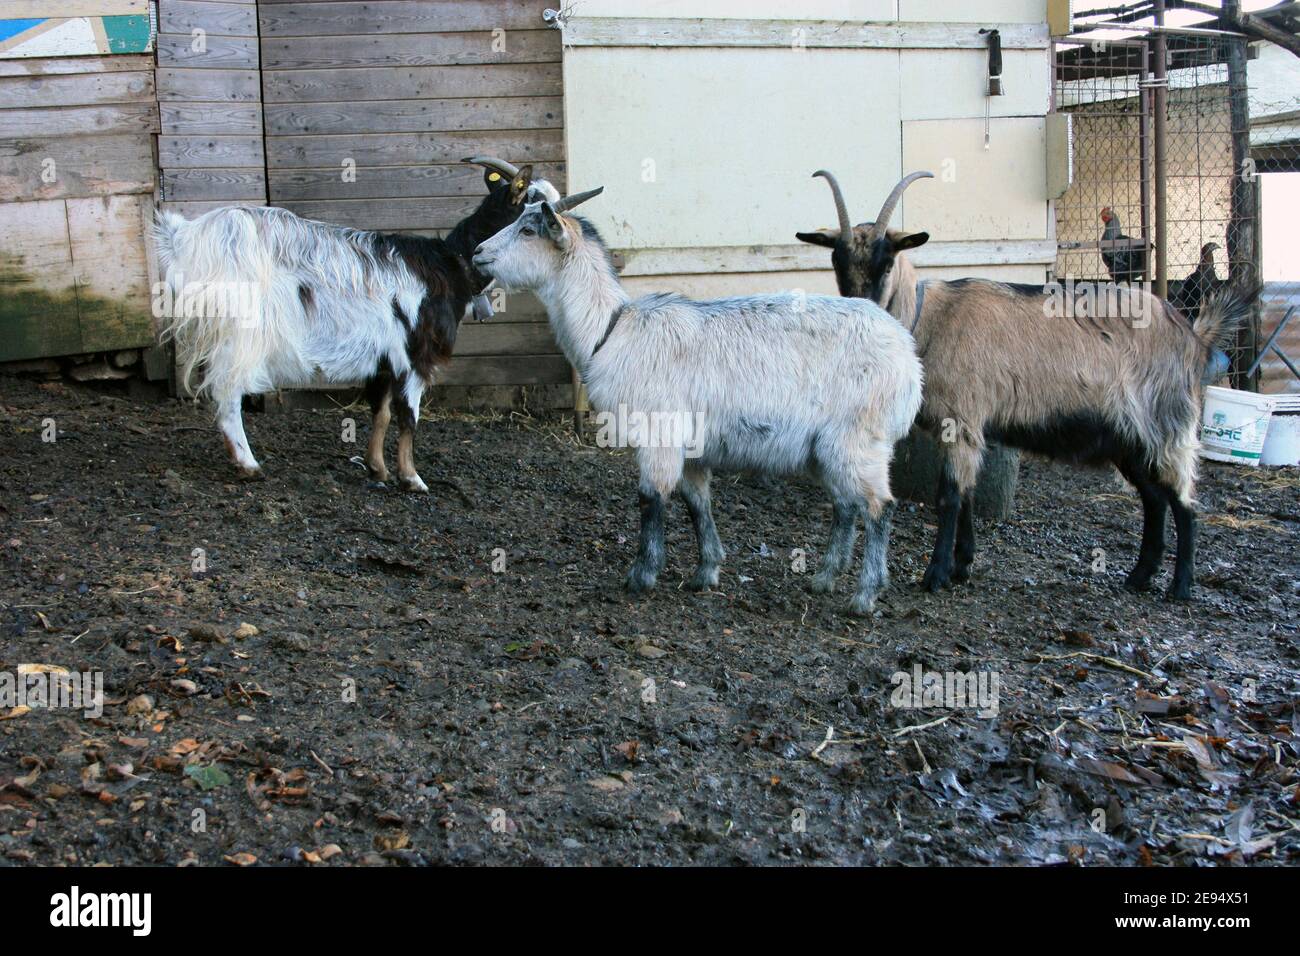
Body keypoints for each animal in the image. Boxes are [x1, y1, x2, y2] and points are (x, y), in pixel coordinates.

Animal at [153, 157, 557, 491]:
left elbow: (379, 411)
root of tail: (188, 238)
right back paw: (247, 464)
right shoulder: (414, 354)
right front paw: (412, 479)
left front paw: (377, 469)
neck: (449, 265)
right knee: (227, 392)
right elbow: (409, 416)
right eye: (534, 203)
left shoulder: (384, 357)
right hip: (241, 332)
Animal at [472, 188, 924, 615]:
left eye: (528, 230)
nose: (477, 252)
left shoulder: (658, 432)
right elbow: (697, 503)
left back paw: (864, 596)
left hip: (859, 437)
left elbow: (651, 497)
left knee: (880, 506)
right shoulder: (691, 447)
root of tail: (908, 359)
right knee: (845, 505)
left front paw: (641, 575)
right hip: (826, 447)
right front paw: (705, 571)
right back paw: (825, 578)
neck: (612, 329)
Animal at [798, 170, 1253, 601]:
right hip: (1127, 436)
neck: (929, 319)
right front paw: (962, 565)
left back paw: (1181, 587)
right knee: (1154, 498)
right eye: (837, 263)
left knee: (1184, 500)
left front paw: (936, 574)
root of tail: (1194, 336)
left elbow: (949, 496)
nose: (863, 310)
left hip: (1167, 422)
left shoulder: (961, 420)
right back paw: (1139, 577)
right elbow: (967, 495)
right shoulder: (967, 427)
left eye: (887, 262)